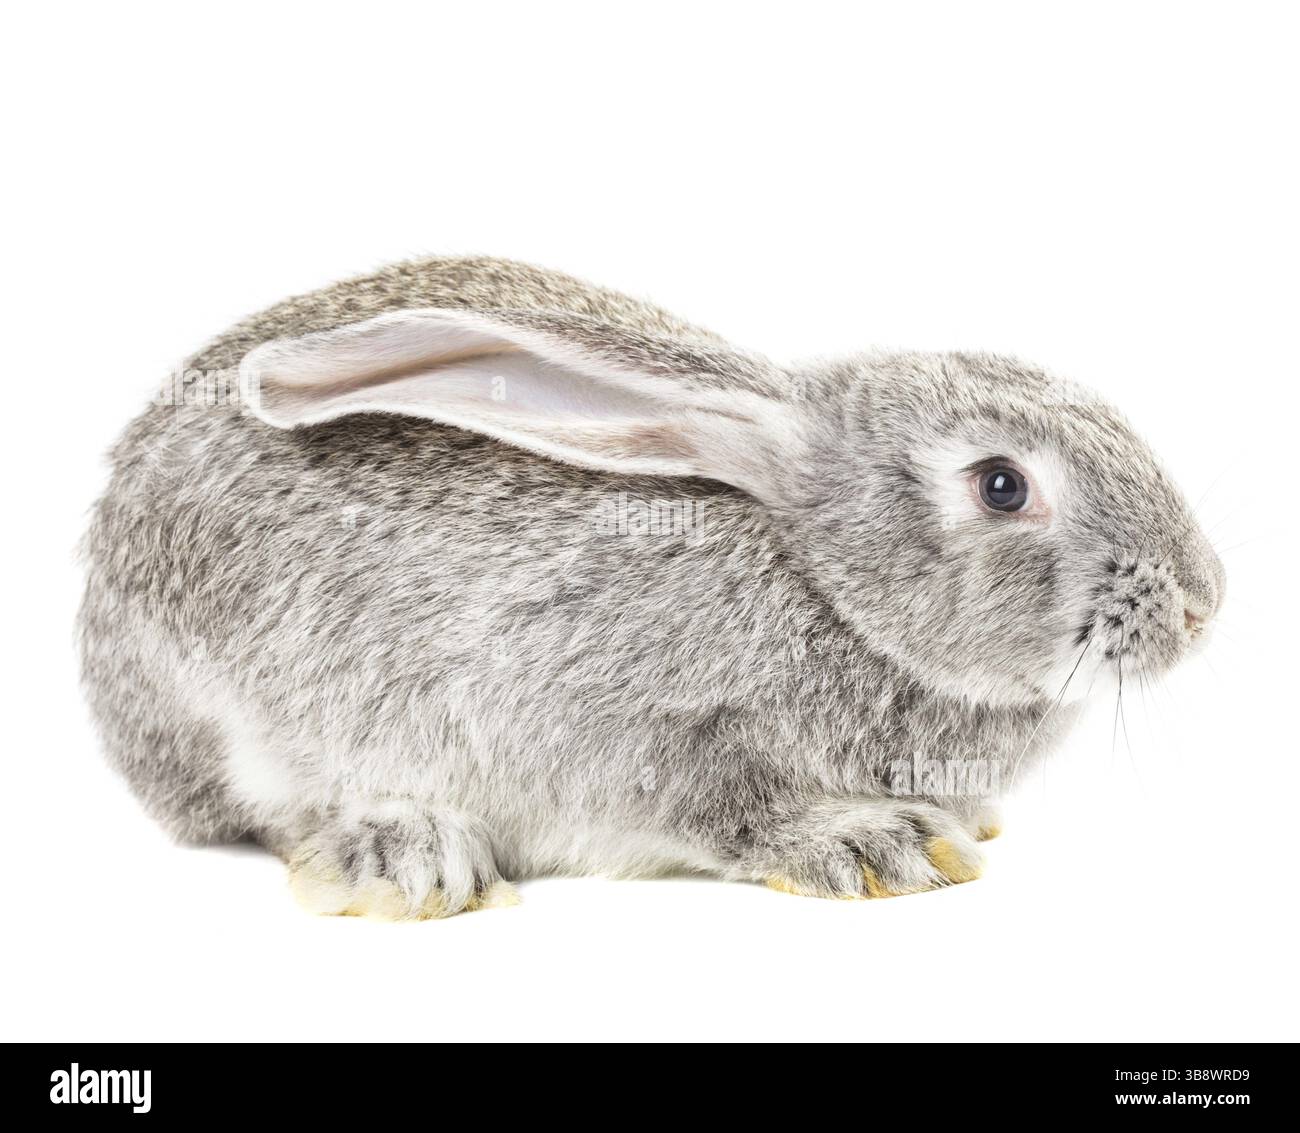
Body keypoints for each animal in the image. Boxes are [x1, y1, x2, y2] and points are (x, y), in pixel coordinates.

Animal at [78, 255, 1225, 918]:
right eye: (1000, 485)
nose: (1202, 604)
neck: (822, 579)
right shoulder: (636, 724)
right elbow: (724, 804)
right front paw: (871, 841)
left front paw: (957, 819)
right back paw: (401, 853)